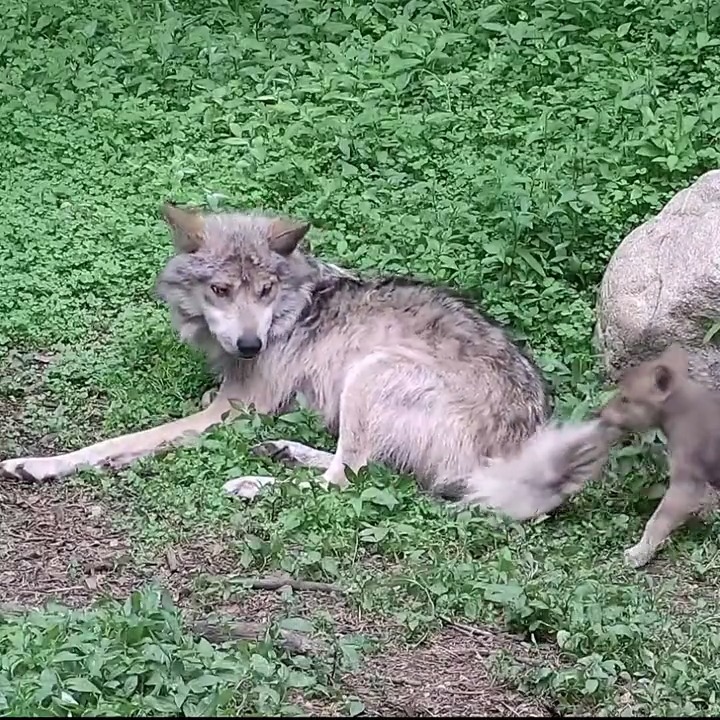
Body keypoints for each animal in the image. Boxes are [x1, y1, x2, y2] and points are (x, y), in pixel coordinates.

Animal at [0, 204, 615, 520]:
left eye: (265, 290)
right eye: (221, 290)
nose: (251, 346)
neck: (292, 307)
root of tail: (523, 459)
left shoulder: (232, 412)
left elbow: (119, 442)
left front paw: (42, 464)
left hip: (372, 372)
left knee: (344, 482)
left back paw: (252, 484)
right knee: (361, 468)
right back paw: (283, 451)